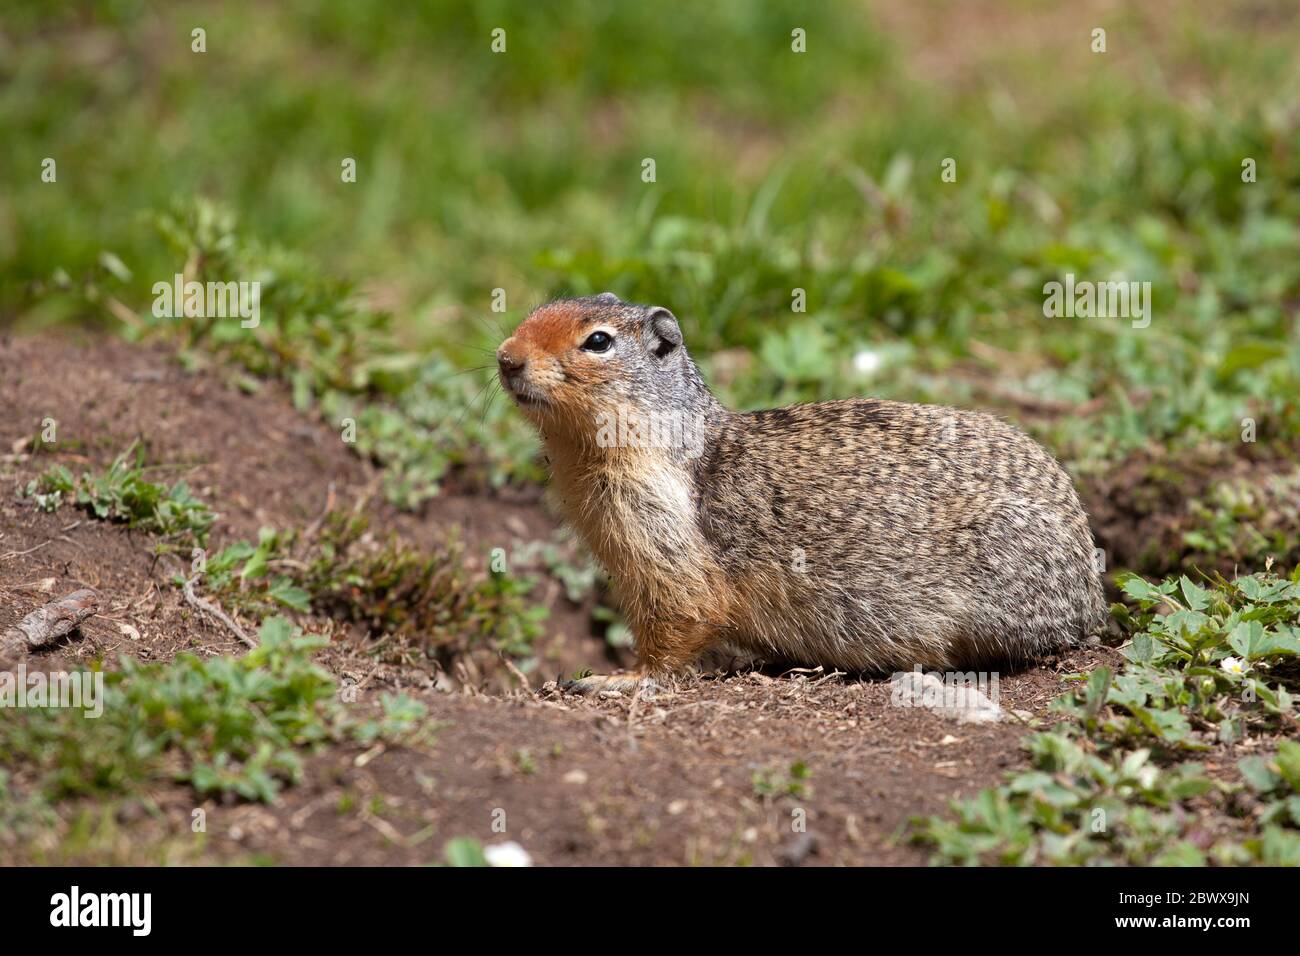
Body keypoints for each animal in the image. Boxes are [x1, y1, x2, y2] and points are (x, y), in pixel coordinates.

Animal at [497, 293, 1108, 695]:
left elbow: (681, 609)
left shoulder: (658, 524)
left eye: (598, 341)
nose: (505, 356)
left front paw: (614, 678)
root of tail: (1092, 600)